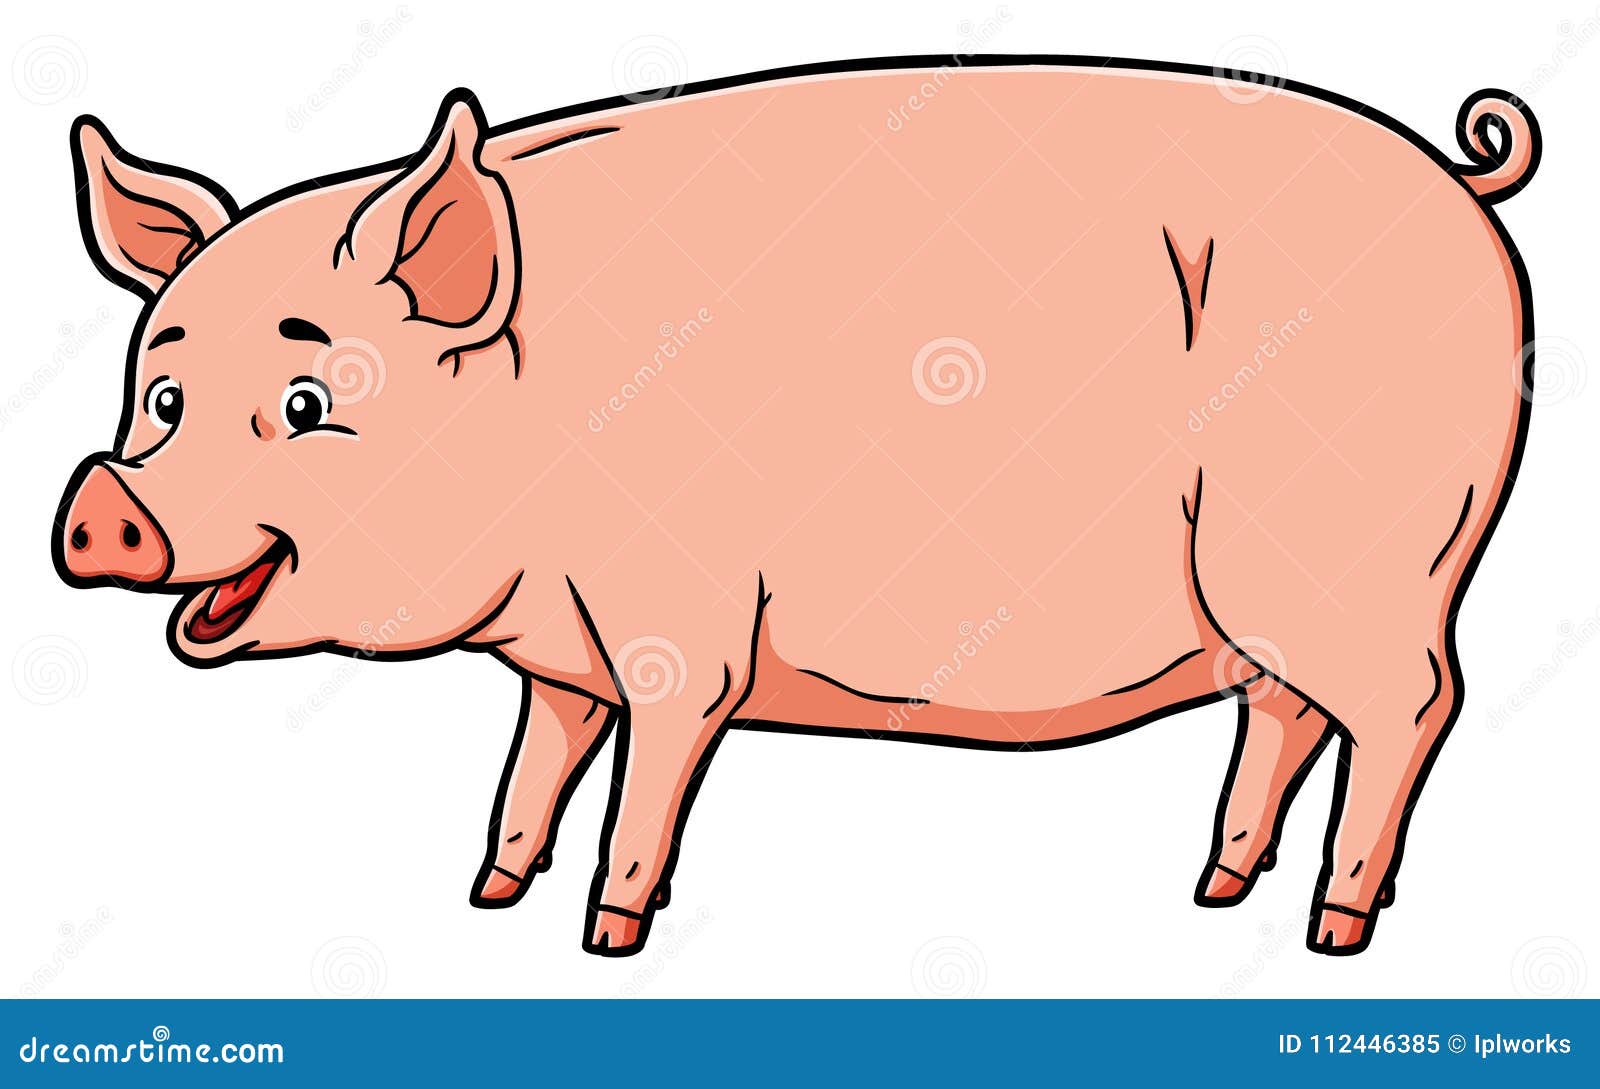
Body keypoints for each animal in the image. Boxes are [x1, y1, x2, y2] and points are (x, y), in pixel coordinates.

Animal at [54, 56, 1539, 958]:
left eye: (307, 403)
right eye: (163, 397)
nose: (101, 507)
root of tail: (1464, 177)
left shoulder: (683, 630)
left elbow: (651, 767)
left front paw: (606, 938)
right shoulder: (563, 654)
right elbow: (540, 757)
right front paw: (485, 897)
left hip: (1367, 560)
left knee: (1416, 703)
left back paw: (1333, 931)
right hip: (1274, 593)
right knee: (1289, 708)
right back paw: (1216, 890)